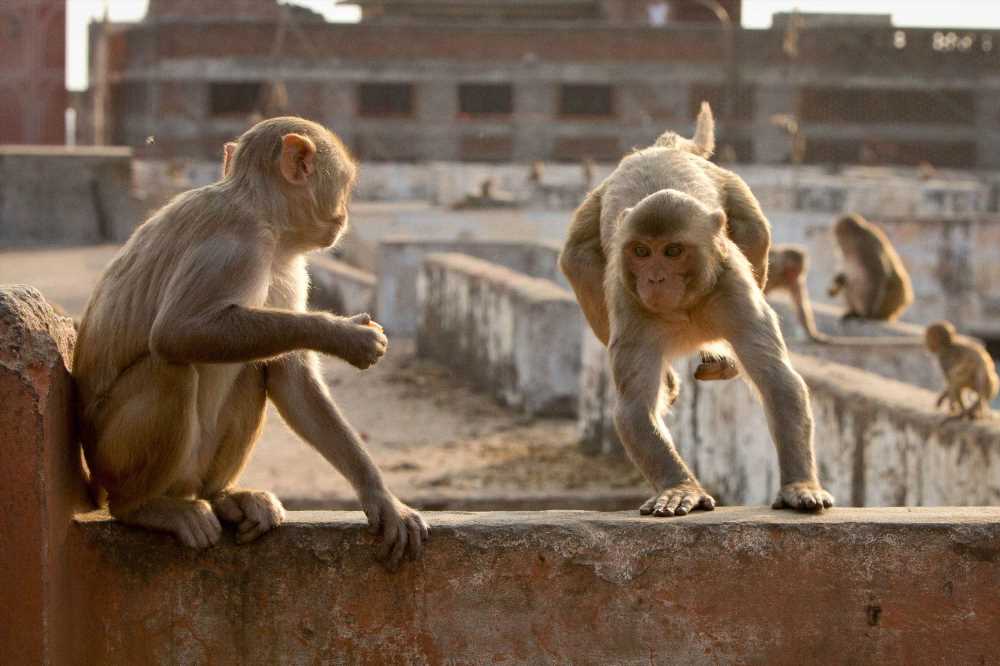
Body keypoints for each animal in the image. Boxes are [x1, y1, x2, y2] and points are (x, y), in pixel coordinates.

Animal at [73, 117, 429, 568]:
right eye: (345, 183)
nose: (346, 215)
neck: (265, 214)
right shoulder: (236, 245)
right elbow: (178, 331)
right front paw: (345, 335)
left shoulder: (289, 265)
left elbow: (291, 377)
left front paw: (380, 496)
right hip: (113, 456)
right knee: (171, 368)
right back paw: (143, 508)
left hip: (194, 465)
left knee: (252, 366)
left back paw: (223, 495)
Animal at [560, 102, 771, 384]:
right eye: (642, 252)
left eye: (674, 252)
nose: (656, 279)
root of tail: (660, 148)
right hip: (597, 201)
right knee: (578, 260)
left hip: (728, 183)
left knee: (754, 231)